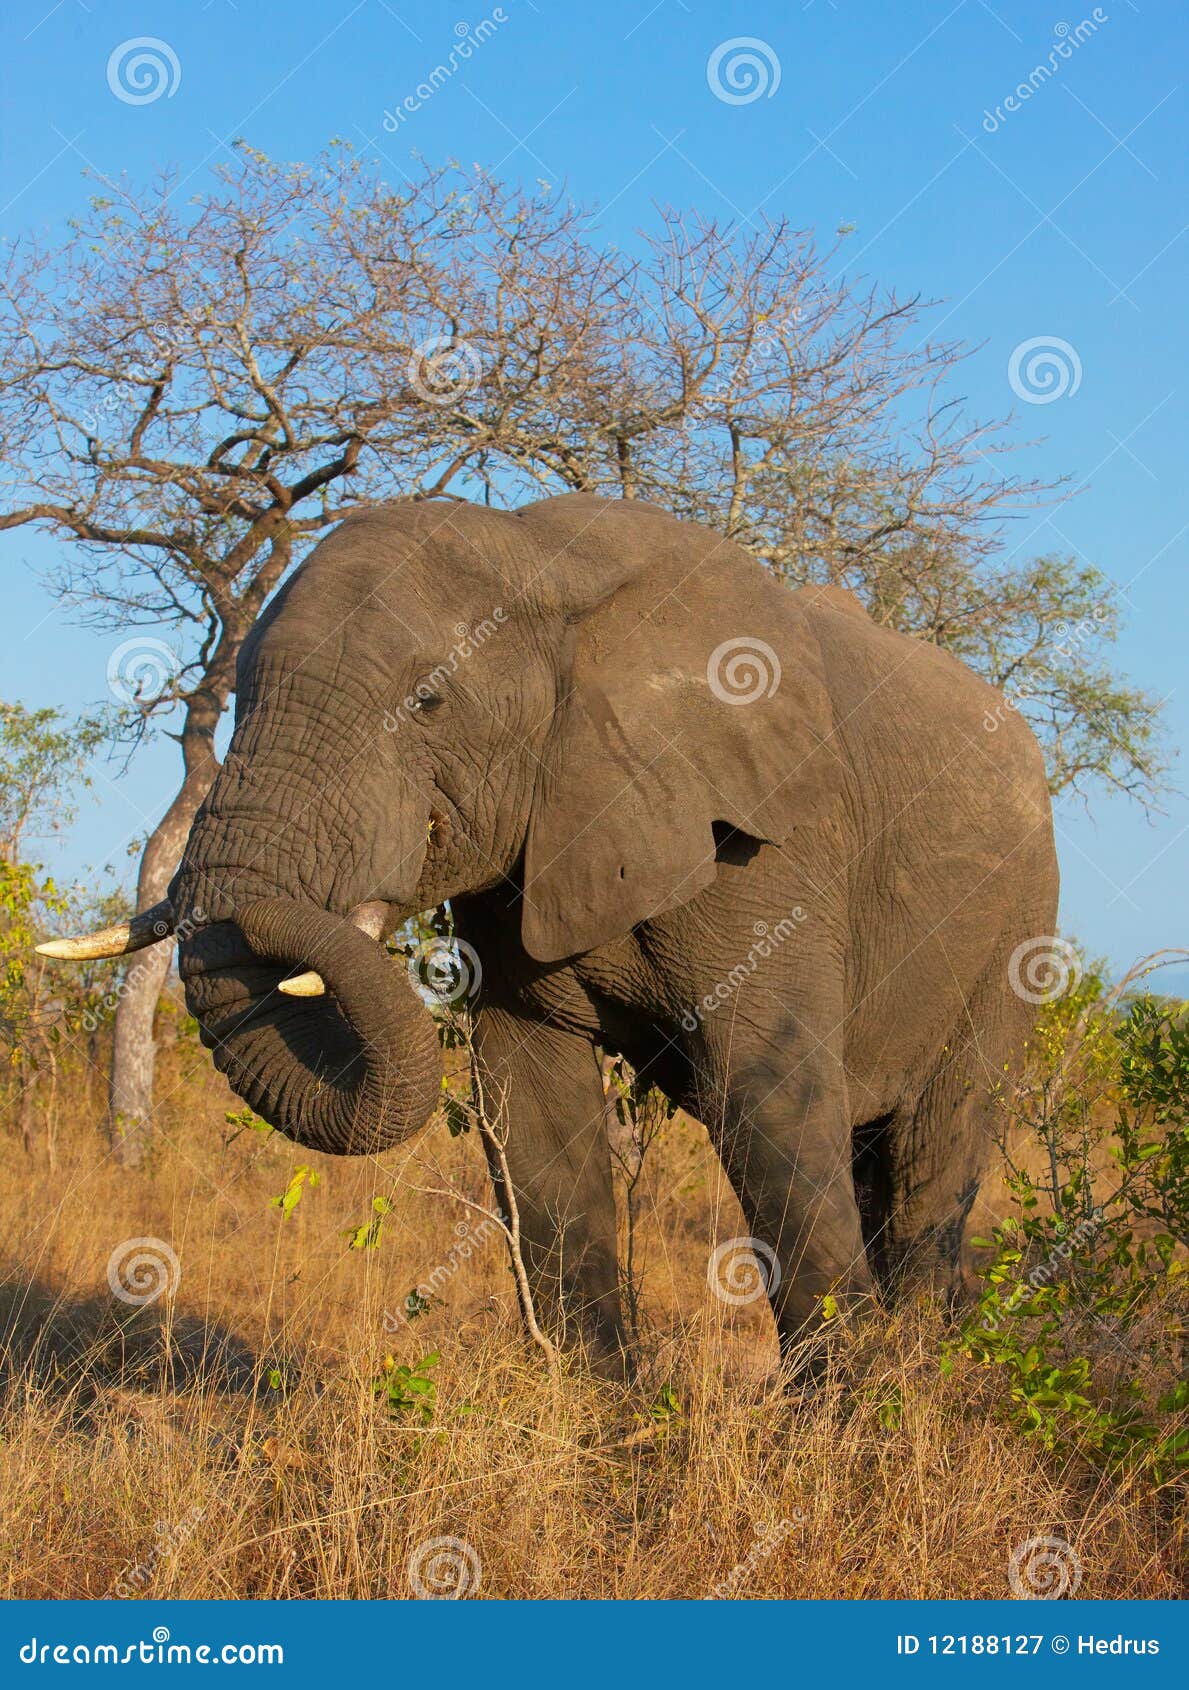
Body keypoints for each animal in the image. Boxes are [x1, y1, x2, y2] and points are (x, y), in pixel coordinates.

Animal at [45, 493, 1058, 1373]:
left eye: (428, 701)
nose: (249, 910)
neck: (538, 557)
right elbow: (529, 1098)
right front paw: (607, 1421)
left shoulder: (769, 848)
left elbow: (765, 1094)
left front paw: (846, 1428)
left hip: (1018, 922)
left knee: (932, 1149)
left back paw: (922, 1375)